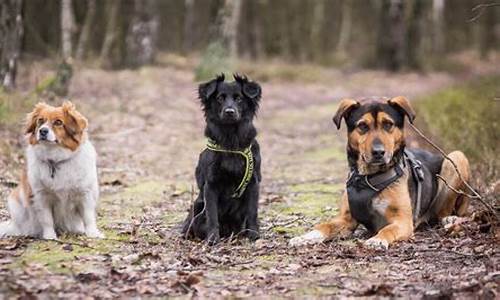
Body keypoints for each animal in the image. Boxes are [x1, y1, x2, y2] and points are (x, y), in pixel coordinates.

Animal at [0, 102, 103, 240]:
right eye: (40, 121)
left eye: (58, 122)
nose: (42, 131)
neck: (55, 160)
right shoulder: (41, 196)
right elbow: (47, 219)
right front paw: (49, 236)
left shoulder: (85, 194)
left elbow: (88, 217)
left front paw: (93, 233)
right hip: (16, 203)